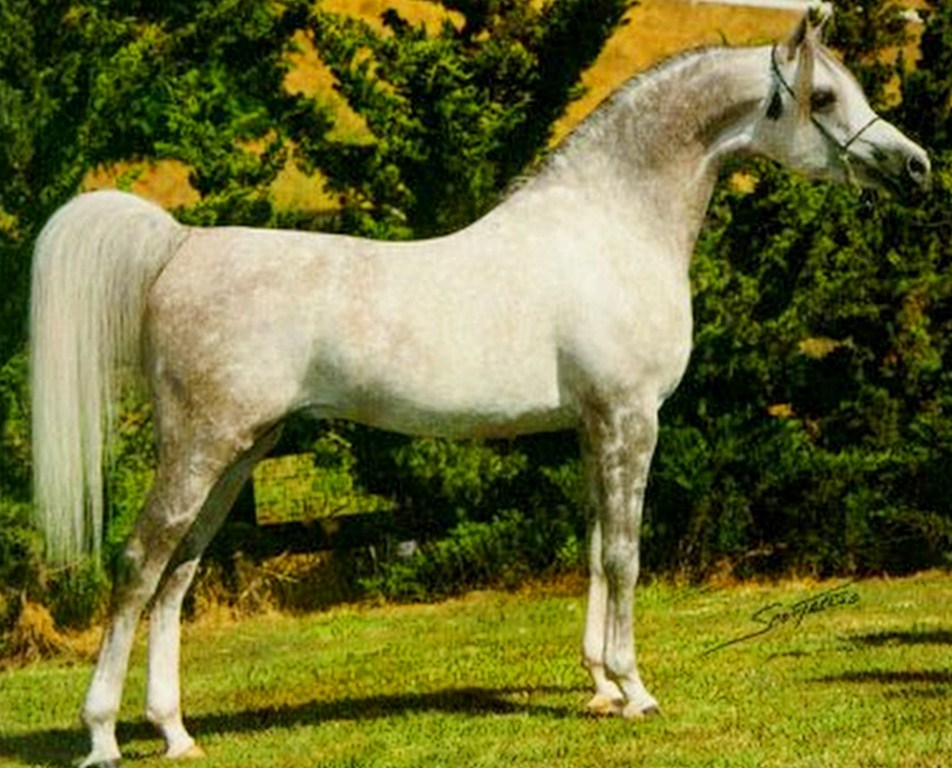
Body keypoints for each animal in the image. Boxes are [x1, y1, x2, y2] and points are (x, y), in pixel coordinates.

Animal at [30, 9, 929, 766]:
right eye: (823, 96)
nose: (915, 168)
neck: (613, 226)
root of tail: (180, 245)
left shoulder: (592, 427)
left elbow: (594, 548)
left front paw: (599, 689)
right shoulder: (630, 418)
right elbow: (627, 554)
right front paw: (635, 689)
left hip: (243, 452)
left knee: (178, 575)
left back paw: (177, 733)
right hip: (200, 445)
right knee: (139, 564)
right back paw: (103, 737)